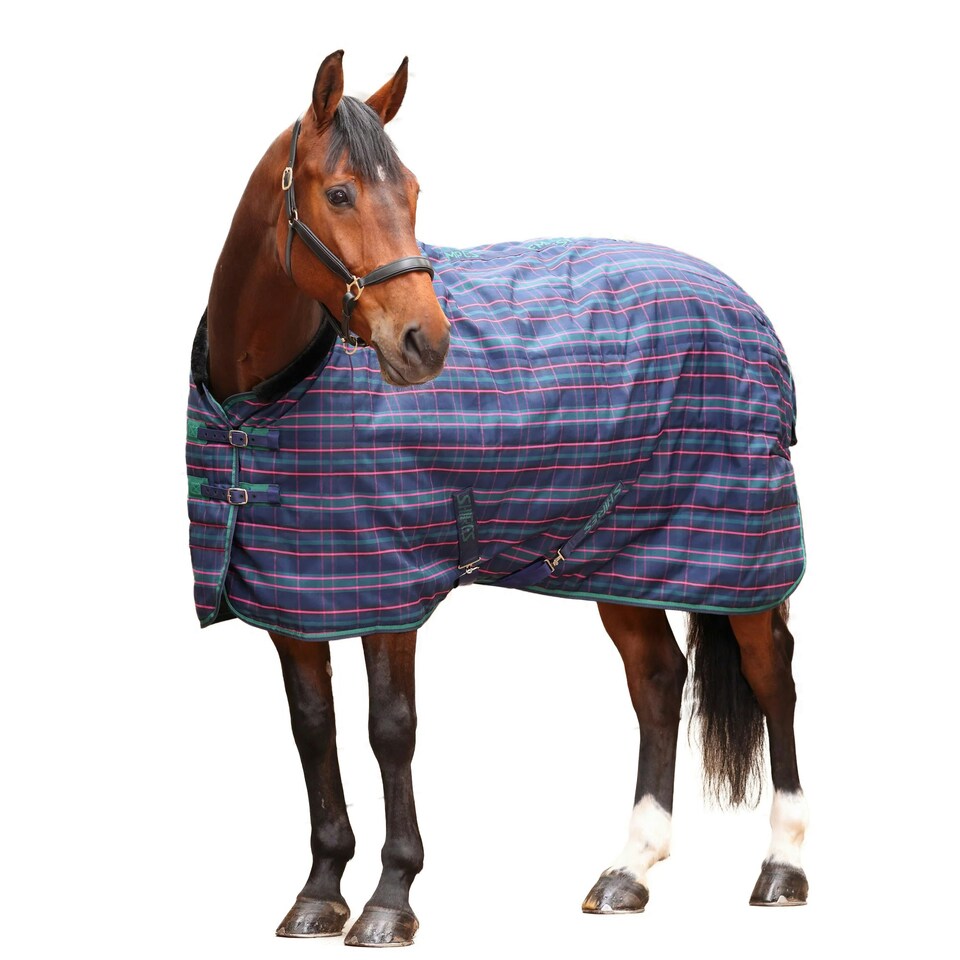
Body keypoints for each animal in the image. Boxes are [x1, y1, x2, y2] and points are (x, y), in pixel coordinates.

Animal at [187, 51, 808, 947]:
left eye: (413, 190)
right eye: (338, 193)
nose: (425, 343)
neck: (262, 404)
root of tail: (744, 306)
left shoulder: (390, 589)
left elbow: (389, 729)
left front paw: (389, 900)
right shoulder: (294, 595)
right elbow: (313, 729)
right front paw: (318, 893)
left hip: (741, 550)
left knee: (772, 677)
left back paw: (783, 868)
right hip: (619, 556)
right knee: (659, 680)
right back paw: (627, 871)